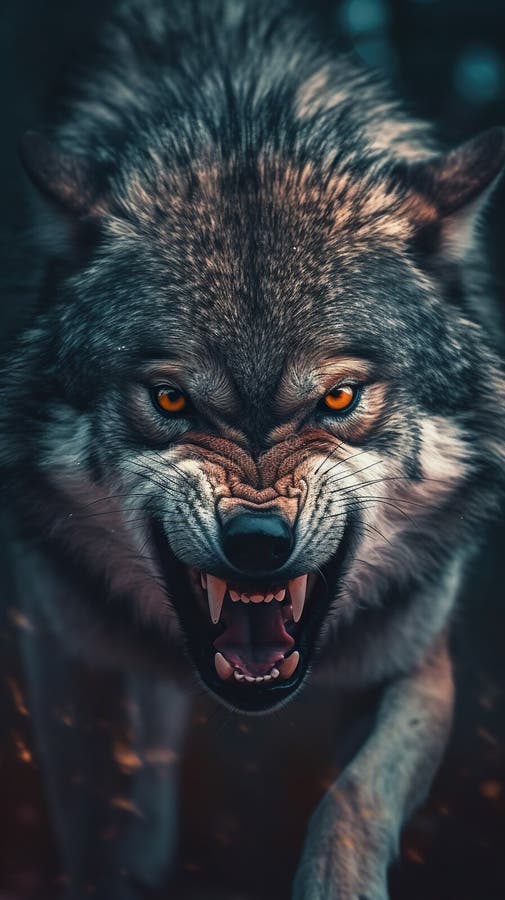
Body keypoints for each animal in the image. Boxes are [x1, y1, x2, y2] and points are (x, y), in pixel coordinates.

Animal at [2, 0, 504, 897]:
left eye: (338, 398)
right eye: (170, 399)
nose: (259, 543)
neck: (242, 121)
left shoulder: (413, 656)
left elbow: (351, 802)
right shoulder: (63, 648)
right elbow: (93, 832)